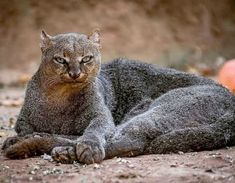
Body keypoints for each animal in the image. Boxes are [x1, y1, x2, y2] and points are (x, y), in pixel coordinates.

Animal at [2, 30, 235, 164]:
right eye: (61, 59)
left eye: (86, 59)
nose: (75, 73)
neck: (59, 97)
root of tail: (231, 98)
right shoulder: (23, 121)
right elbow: (29, 129)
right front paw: (24, 136)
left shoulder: (101, 115)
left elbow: (95, 131)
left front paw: (88, 147)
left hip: (161, 109)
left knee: (130, 141)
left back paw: (58, 150)